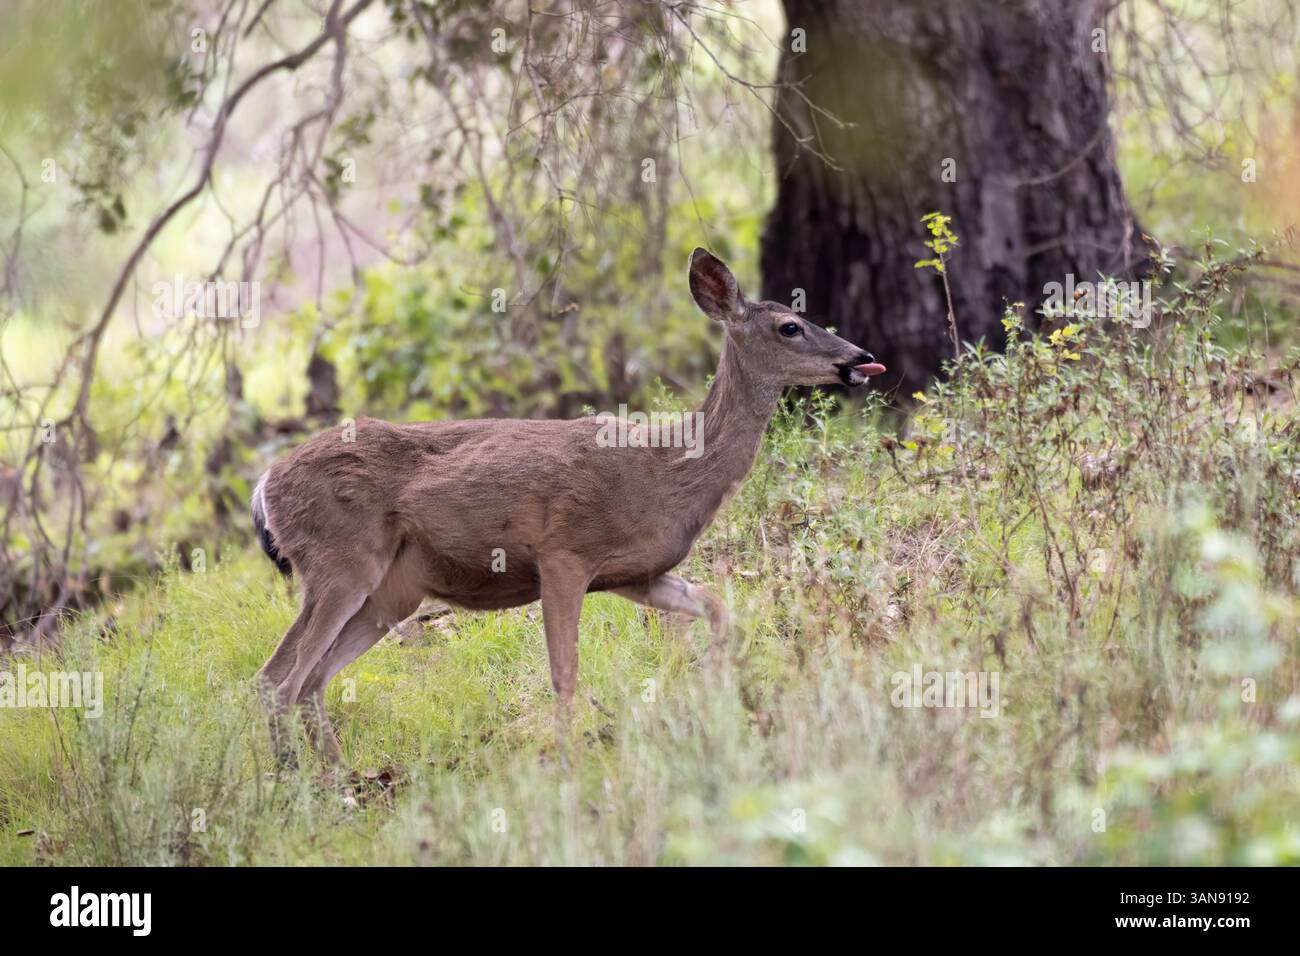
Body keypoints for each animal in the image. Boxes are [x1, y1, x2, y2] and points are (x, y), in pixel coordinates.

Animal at [251, 249, 886, 765]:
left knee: (310, 680)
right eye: (790, 326)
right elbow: (564, 672)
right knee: (277, 679)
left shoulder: (637, 573)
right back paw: (301, 784)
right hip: (339, 559)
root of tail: (265, 483)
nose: (861, 357)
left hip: (393, 590)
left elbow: (719, 608)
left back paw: (340, 776)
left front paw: (713, 691)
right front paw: (565, 762)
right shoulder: (564, 552)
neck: (668, 470)